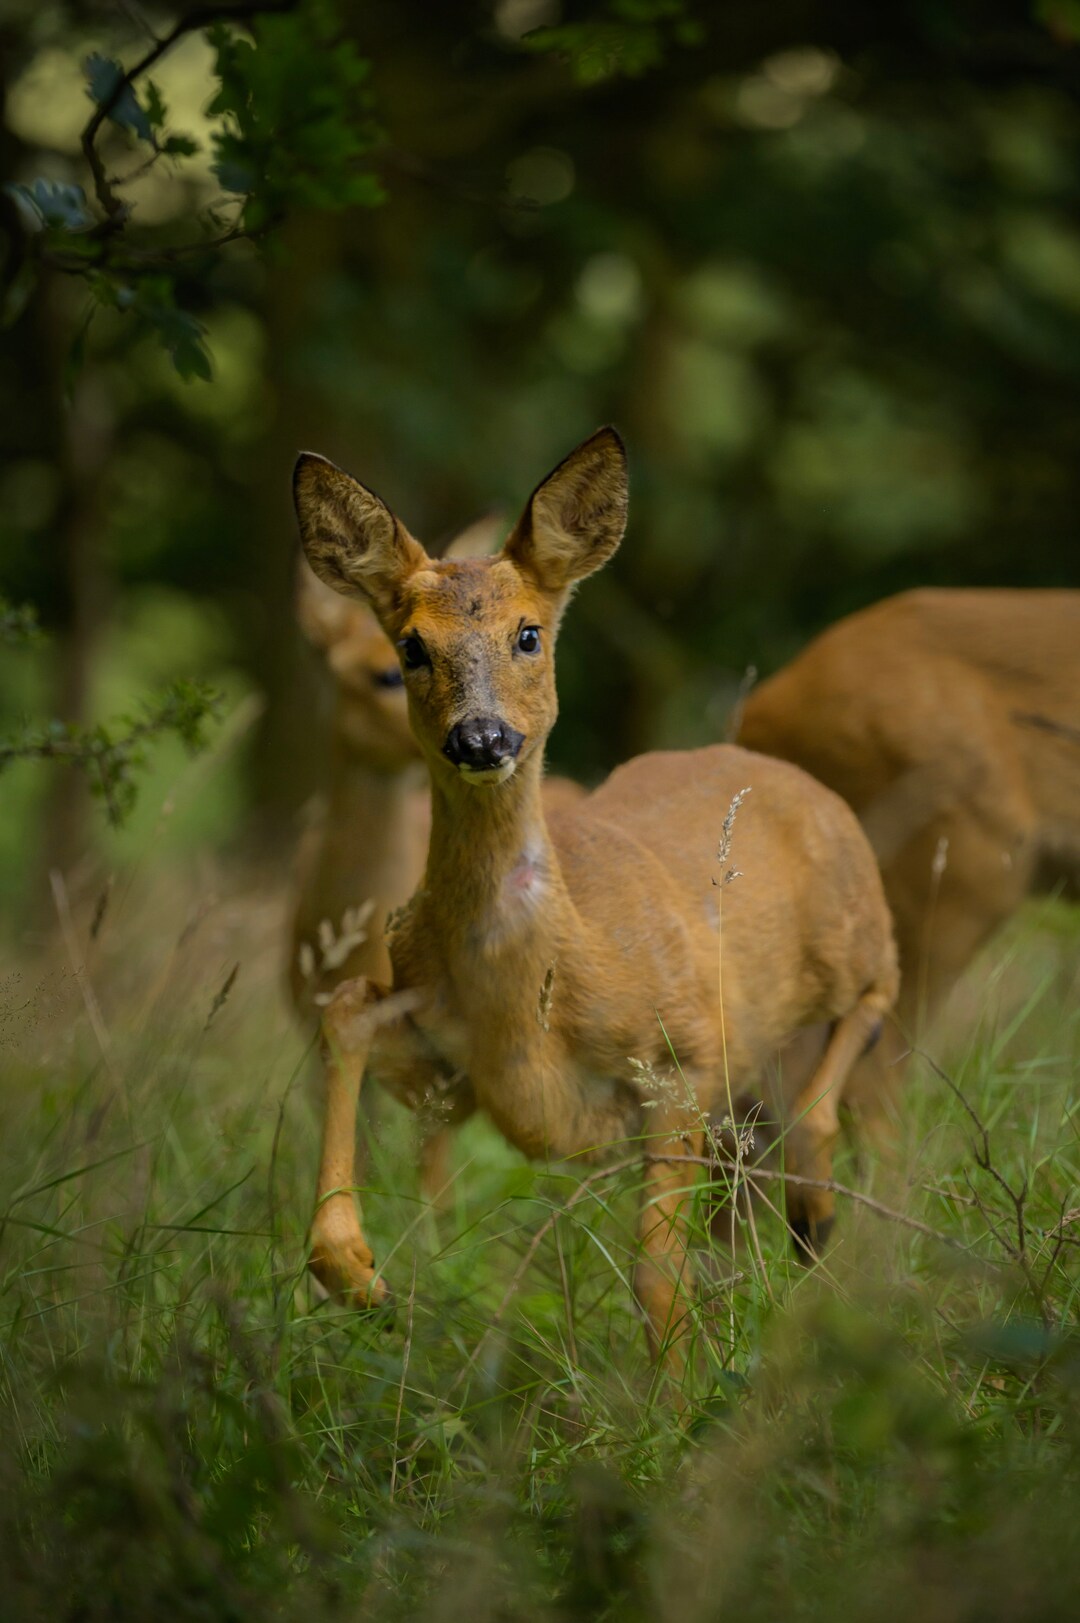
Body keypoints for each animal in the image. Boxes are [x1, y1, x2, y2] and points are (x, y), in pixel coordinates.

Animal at [292, 427, 899, 1376]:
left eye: (528, 632)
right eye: (410, 647)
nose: (481, 738)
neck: (529, 991)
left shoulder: (683, 1057)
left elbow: (657, 1278)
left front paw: (679, 1403)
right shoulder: (448, 1069)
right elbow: (347, 1010)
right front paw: (358, 1274)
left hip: (855, 933)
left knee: (868, 1015)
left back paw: (817, 1210)